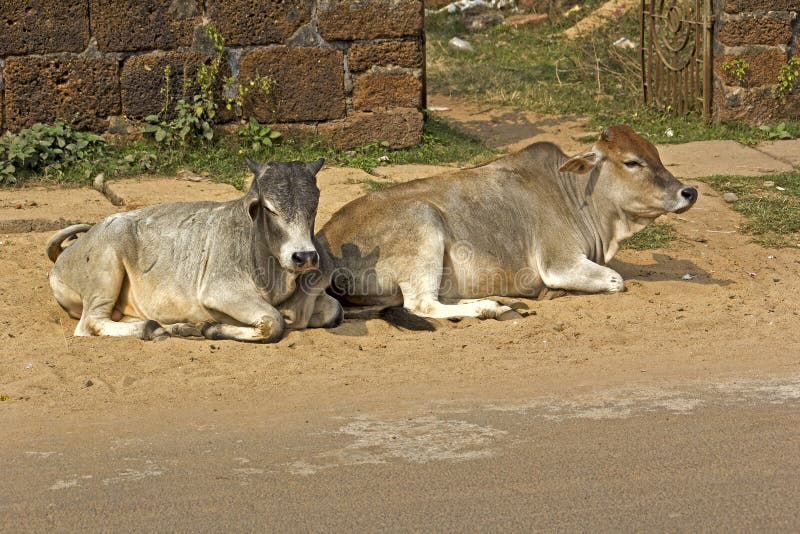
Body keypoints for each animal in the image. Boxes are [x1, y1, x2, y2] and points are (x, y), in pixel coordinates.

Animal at [46, 157, 343, 342]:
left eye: (314, 208)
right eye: (270, 208)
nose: (304, 257)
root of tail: (64, 257)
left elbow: (336, 310)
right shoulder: (221, 291)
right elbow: (274, 322)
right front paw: (212, 328)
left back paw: (179, 327)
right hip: (106, 266)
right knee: (90, 323)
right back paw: (152, 329)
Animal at [317, 125, 698, 320]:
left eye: (657, 155)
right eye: (632, 162)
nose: (689, 192)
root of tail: (324, 241)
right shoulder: (560, 262)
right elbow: (617, 281)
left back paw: (502, 303)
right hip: (424, 226)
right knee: (422, 304)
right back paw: (489, 308)